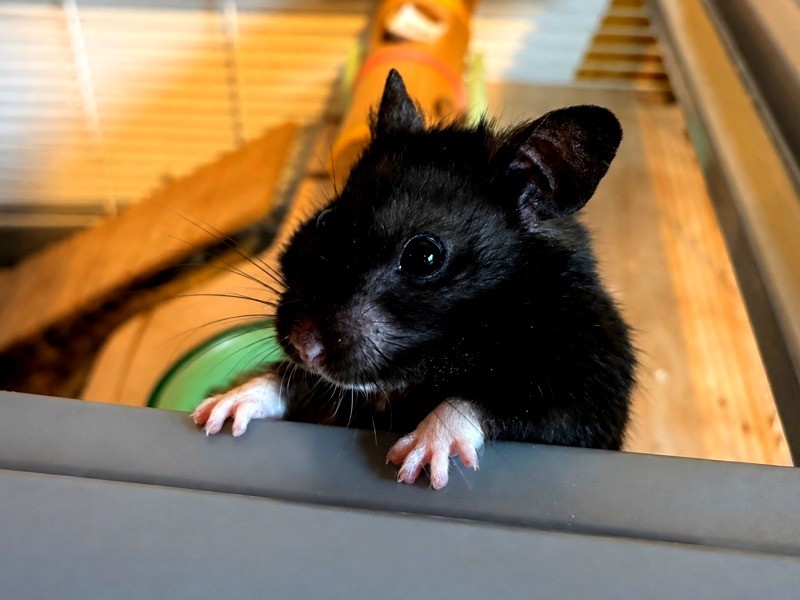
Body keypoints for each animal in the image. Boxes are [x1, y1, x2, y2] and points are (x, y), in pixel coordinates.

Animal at [192, 69, 637, 489]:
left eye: (424, 257)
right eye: (325, 222)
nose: (306, 348)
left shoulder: (582, 397)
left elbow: (480, 402)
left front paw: (413, 465)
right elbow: (289, 381)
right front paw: (217, 413)